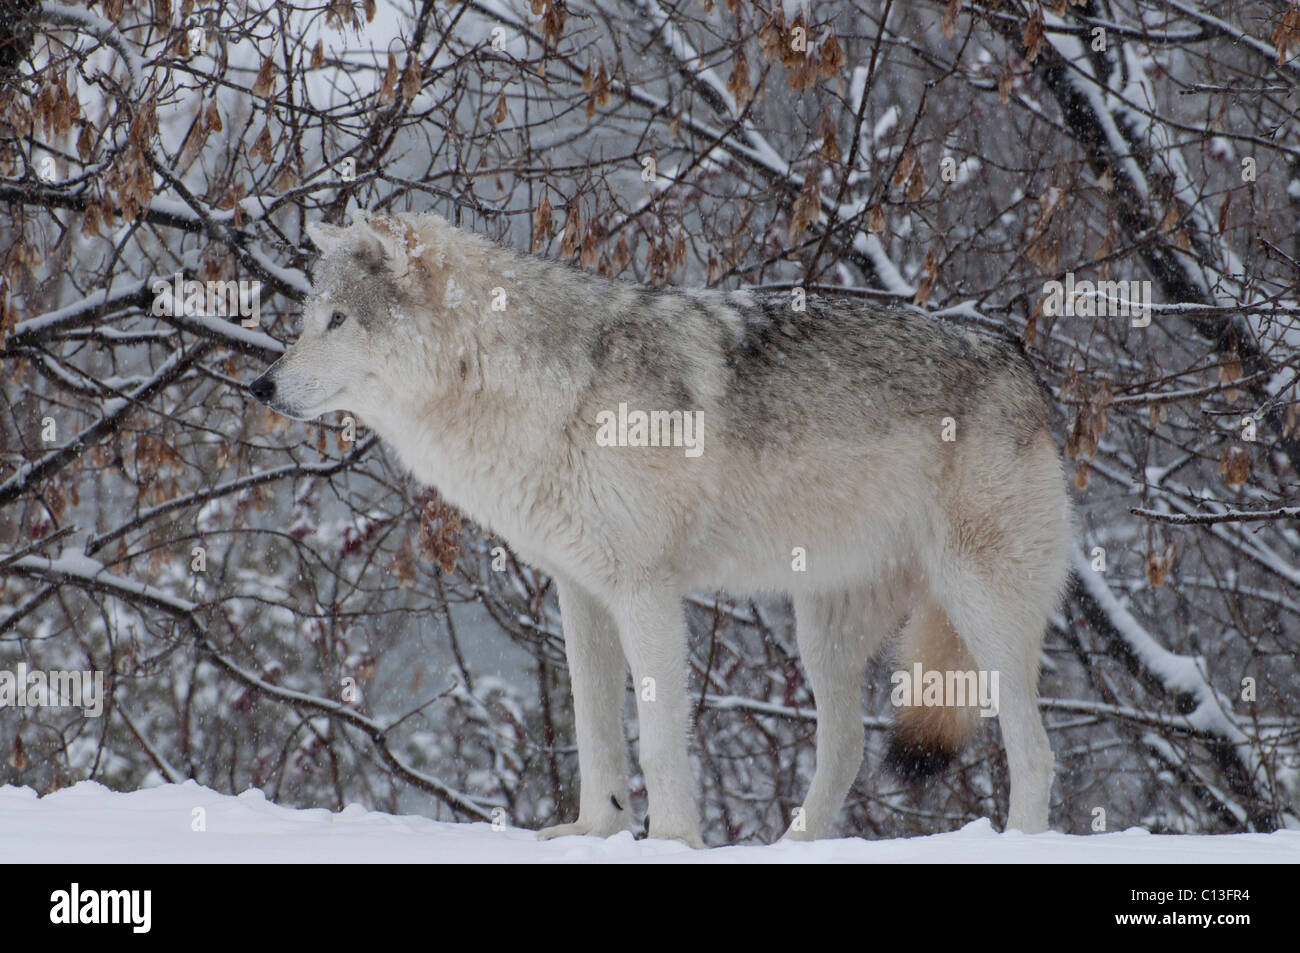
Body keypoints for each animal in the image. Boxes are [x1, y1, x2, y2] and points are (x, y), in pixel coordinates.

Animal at [249, 210, 1072, 847]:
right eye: (305, 321)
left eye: (336, 320)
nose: (261, 384)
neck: (545, 391)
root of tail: (1023, 366)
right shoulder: (580, 592)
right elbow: (595, 732)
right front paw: (593, 832)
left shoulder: (646, 591)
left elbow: (659, 739)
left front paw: (673, 840)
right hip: (824, 634)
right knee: (845, 748)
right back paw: (788, 847)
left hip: (980, 609)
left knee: (1034, 751)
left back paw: (1019, 841)